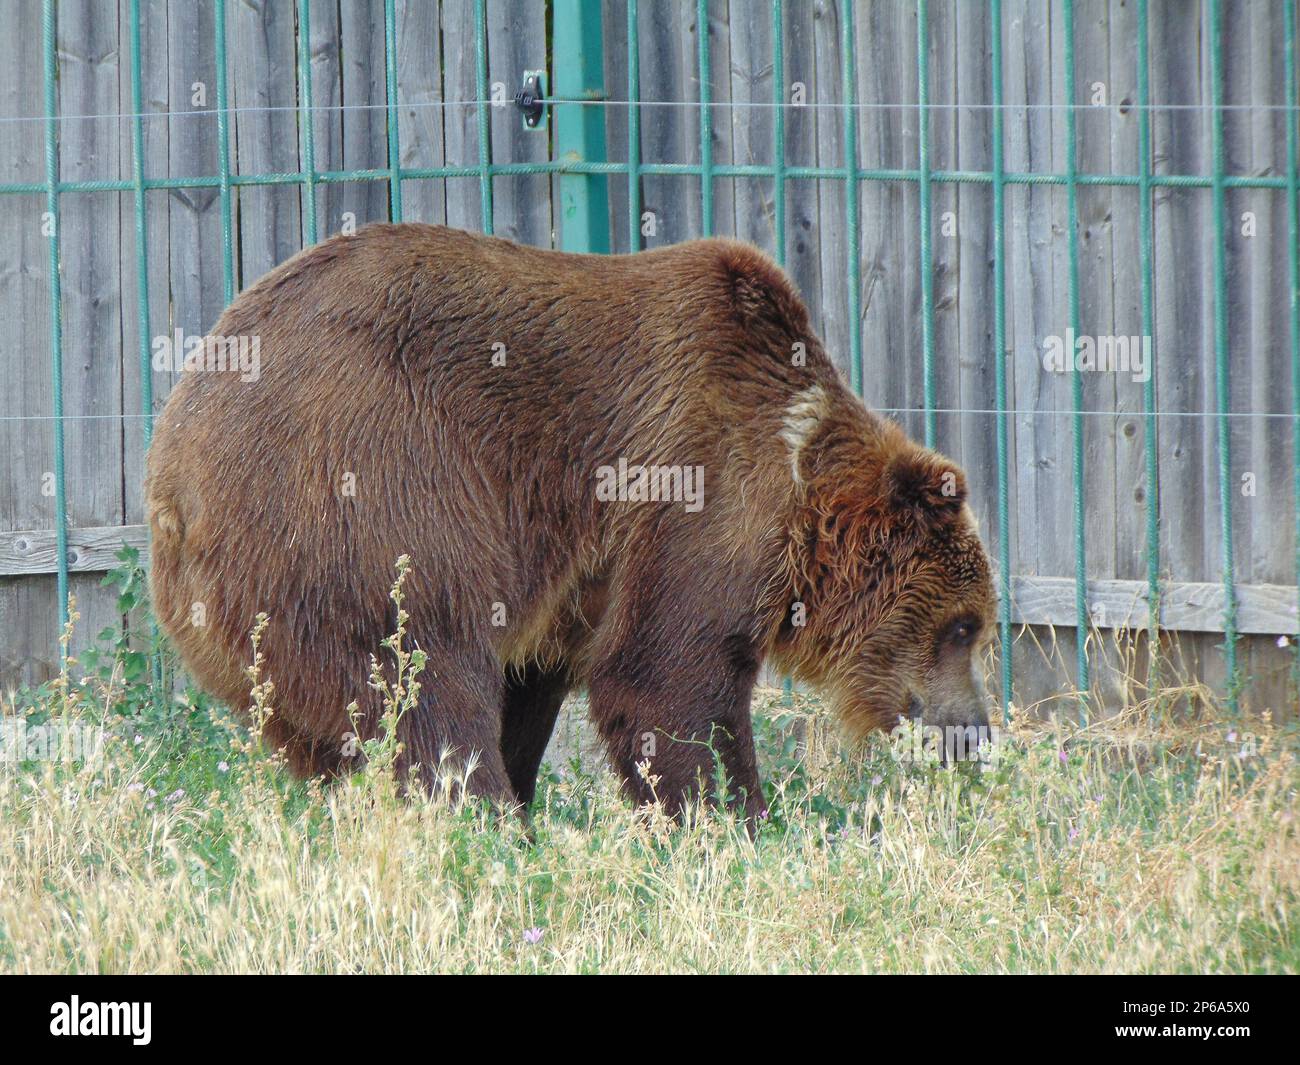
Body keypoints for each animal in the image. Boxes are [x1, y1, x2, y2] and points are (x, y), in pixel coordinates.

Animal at [145, 223, 995, 822]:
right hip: (364, 494)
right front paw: (740, 817)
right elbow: (669, 672)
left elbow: (537, 687)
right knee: (425, 681)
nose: (974, 734)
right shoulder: (696, 477)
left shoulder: (569, 586)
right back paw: (489, 828)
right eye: (962, 626)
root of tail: (171, 471)